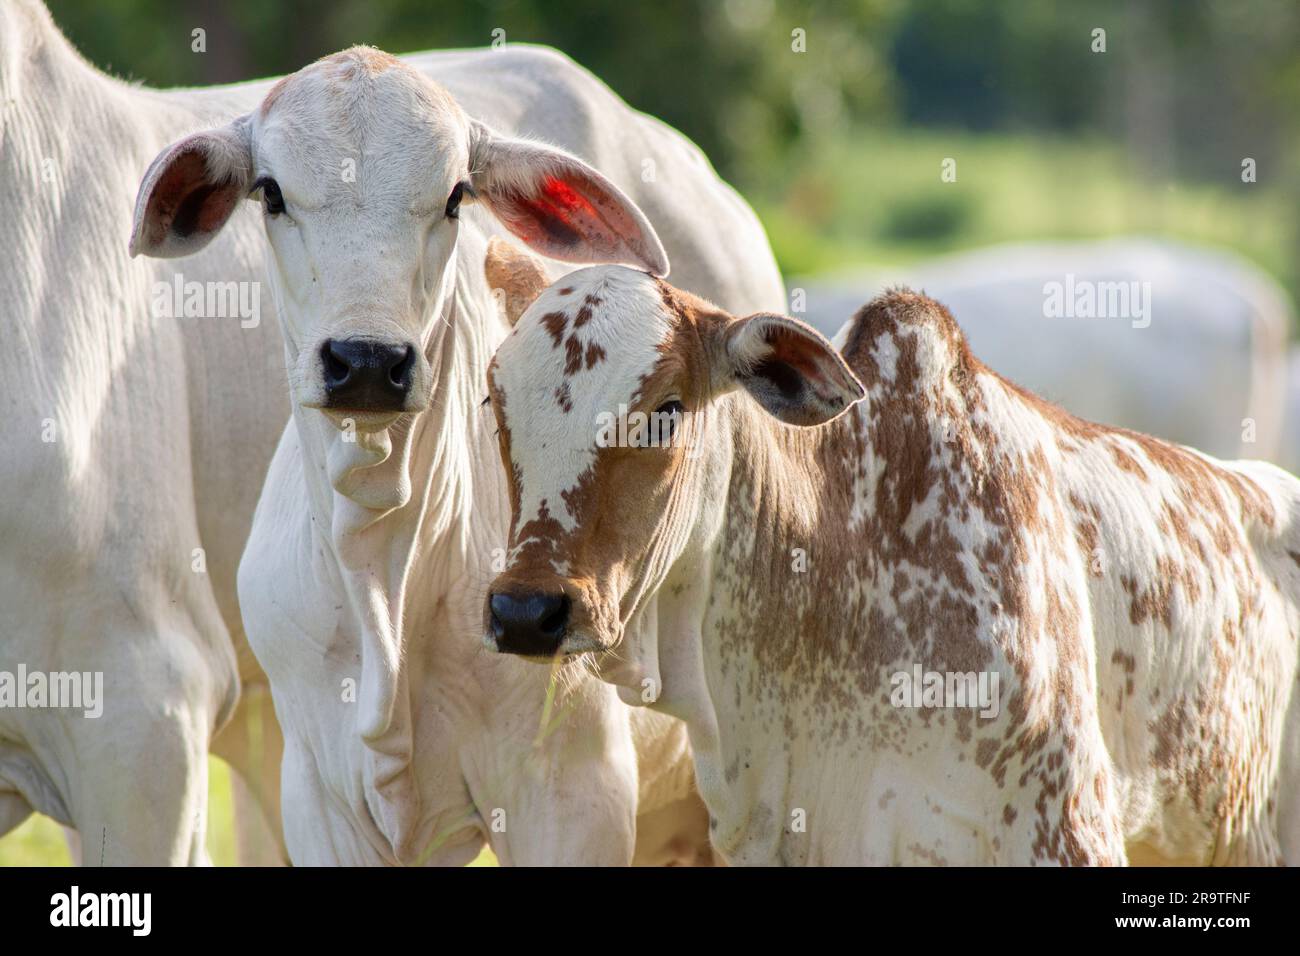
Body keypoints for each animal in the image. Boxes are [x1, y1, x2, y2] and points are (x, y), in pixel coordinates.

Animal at [129, 45, 784, 863]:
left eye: (454, 195)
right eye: (271, 192)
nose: (367, 361)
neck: (388, 574)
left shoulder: (573, 792)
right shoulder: (316, 796)